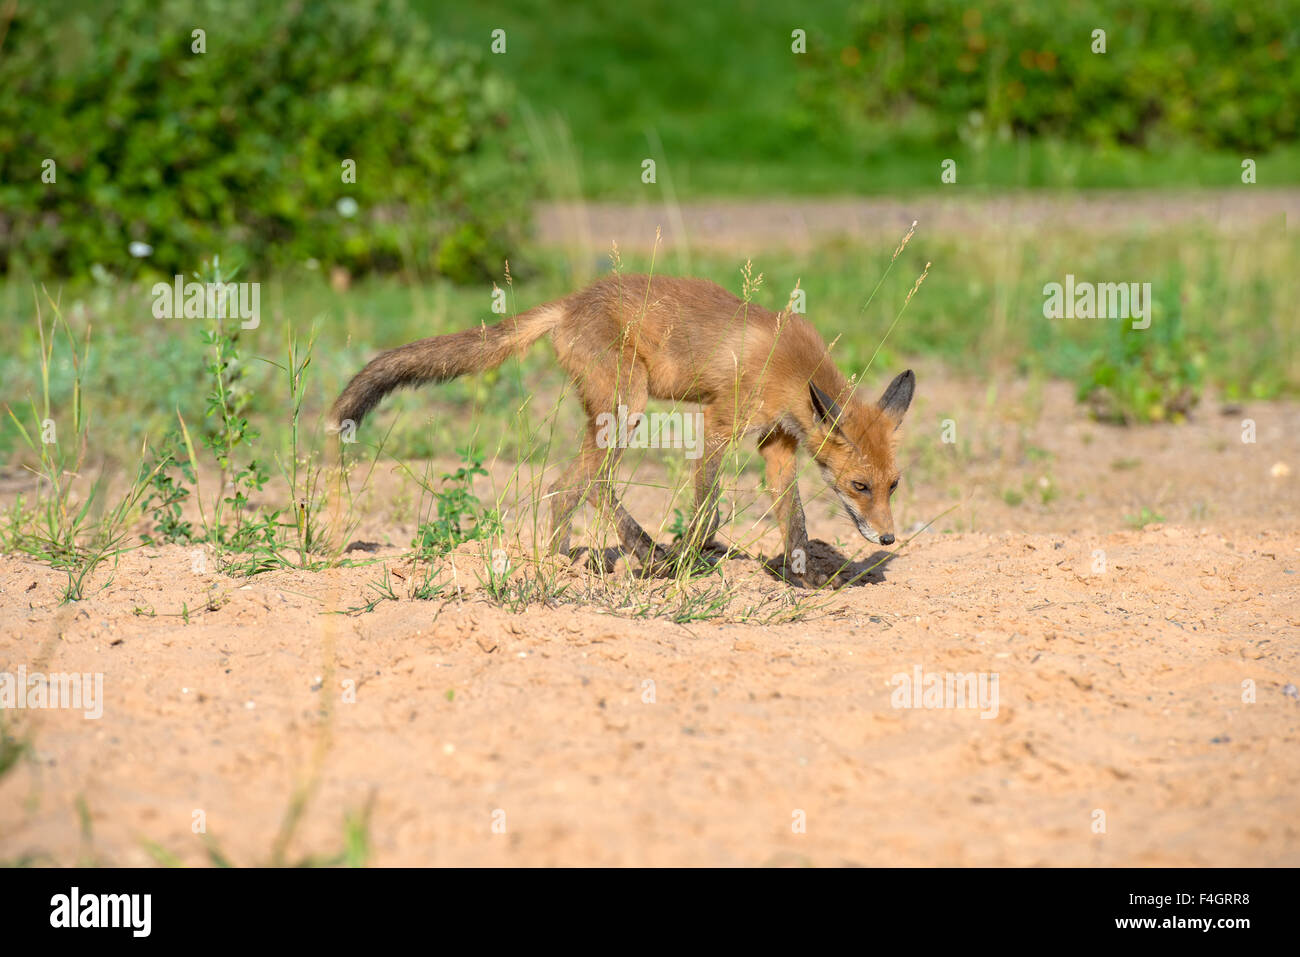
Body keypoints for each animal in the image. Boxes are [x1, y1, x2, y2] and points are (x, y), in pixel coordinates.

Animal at [329, 273, 914, 583]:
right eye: (860, 486)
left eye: (894, 485)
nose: (889, 536)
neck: (790, 367)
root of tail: (570, 300)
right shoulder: (719, 420)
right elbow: (710, 504)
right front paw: (691, 559)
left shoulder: (778, 444)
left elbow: (793, 518)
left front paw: (803, 578)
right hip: (627, 403)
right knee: (591, 482)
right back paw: (644, 553)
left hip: (613, 412)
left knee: (565, 486)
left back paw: (561, 561)